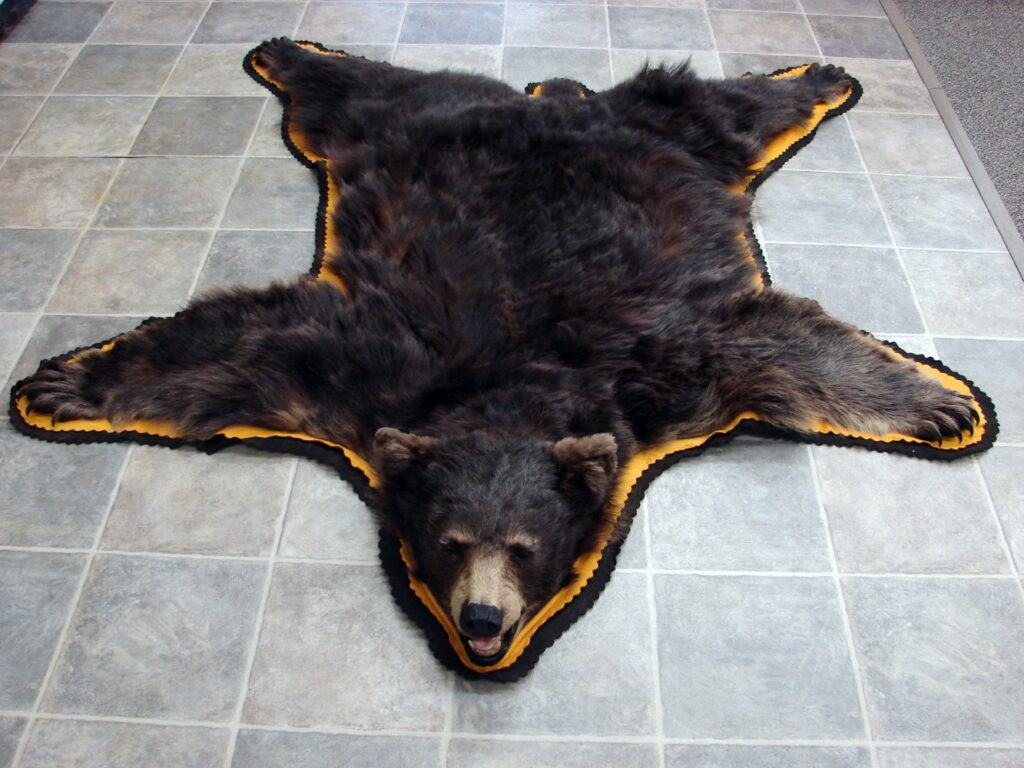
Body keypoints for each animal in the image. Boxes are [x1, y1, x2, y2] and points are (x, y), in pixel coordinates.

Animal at [19, 38, 980, 665]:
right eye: (448, 543)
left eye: (524, 546)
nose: (481, 624)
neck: (510, 389)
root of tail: (550, 99)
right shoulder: (365, 365)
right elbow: (240, 343)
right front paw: (67, 380)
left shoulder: (663, 361)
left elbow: (778, 342)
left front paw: (940, 400)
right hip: (405, 125)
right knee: (355, 92)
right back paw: (287, 50)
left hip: (667, 137)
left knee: (717, 108)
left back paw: (819, 74)